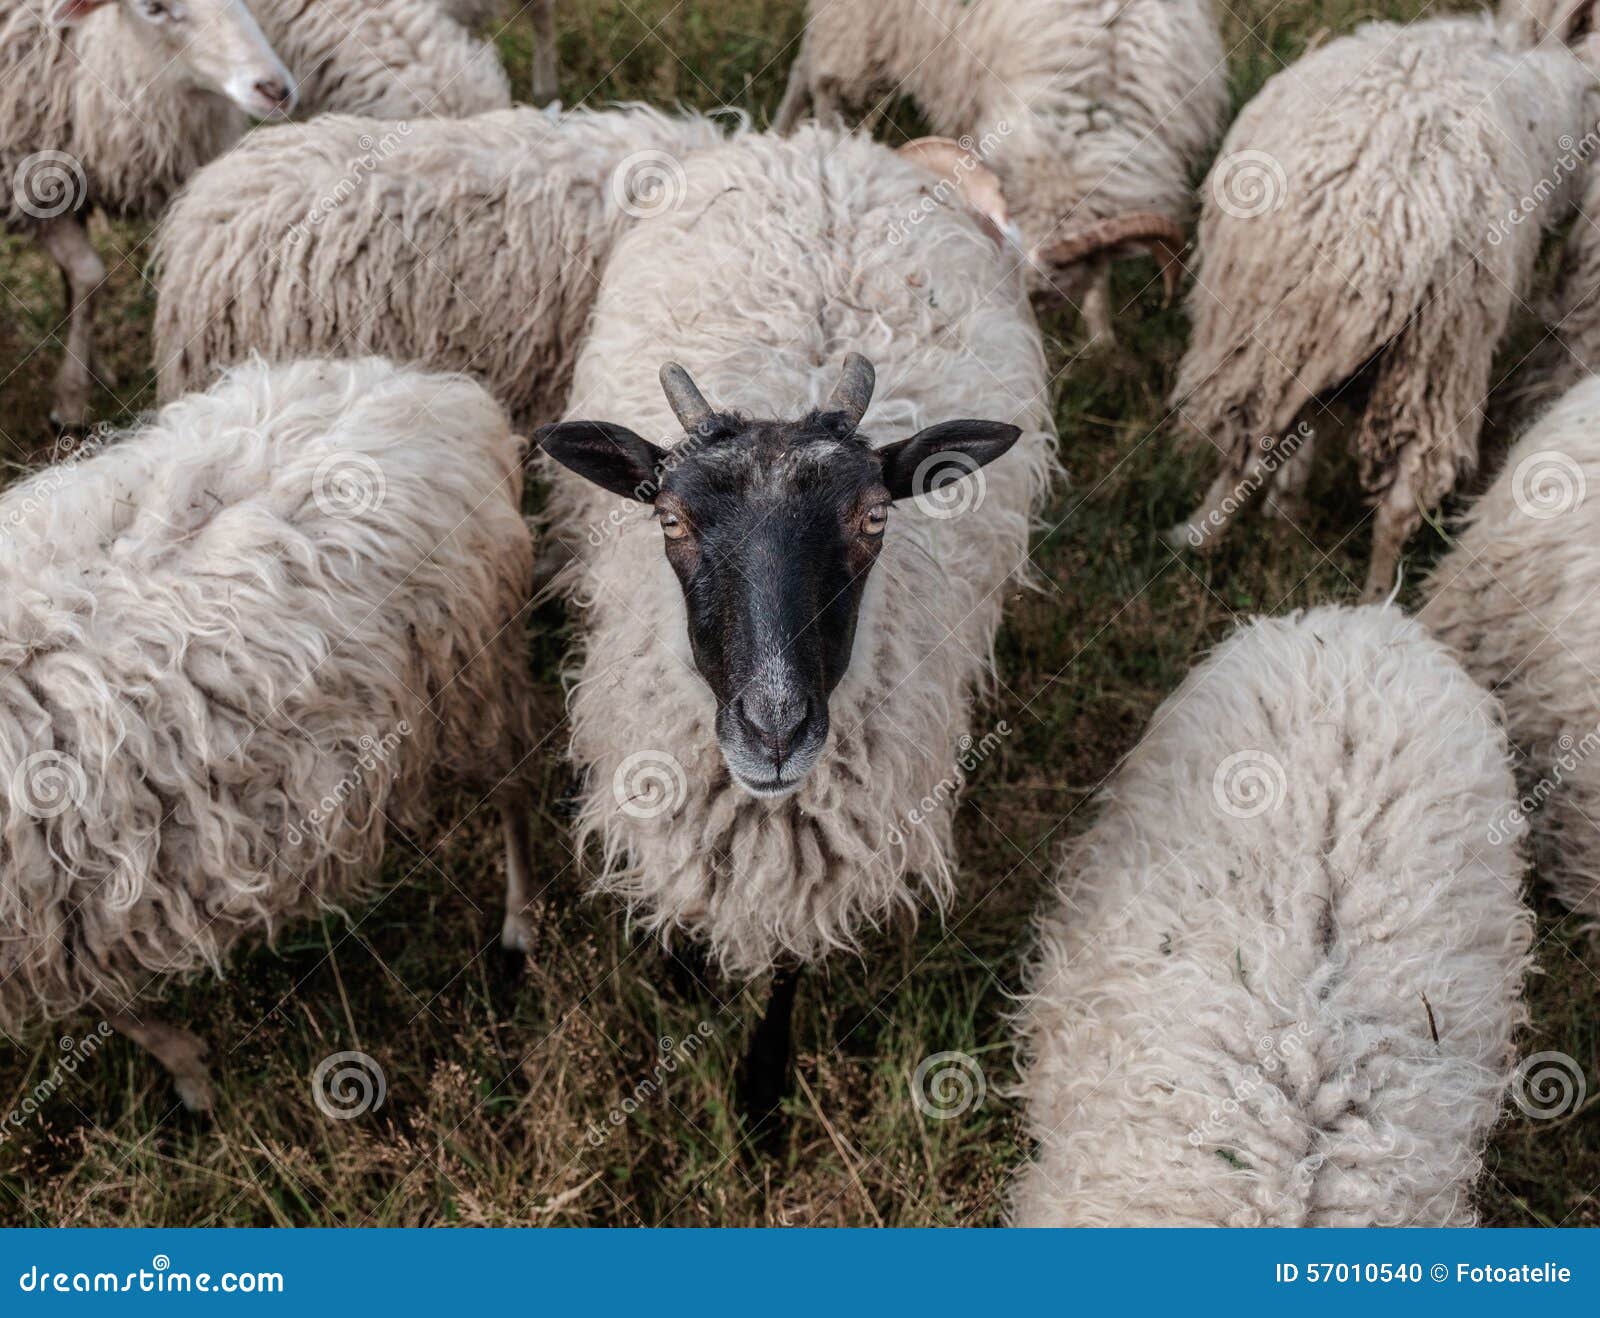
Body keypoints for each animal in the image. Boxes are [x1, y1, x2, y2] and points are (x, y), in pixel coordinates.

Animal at [0, 0, 296, 429]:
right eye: (154, 9)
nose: (276, 90)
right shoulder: (27, 186)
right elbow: (88, 277)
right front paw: (71, 398)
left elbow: (72, 282)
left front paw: (92, 366)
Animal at [0, 355, 539, 1111]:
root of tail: (432, 393)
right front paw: (191, 1067)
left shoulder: (47, 918)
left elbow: (117, 1010)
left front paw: (193, 1078)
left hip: (471, 675)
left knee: (517, 783)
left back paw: (521, 924)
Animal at [534, 124, 1060, 1128]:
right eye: (671, 519)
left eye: (874, 517)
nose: (773, 729)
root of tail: (826, 145)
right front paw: (682, 976)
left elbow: (785, 968)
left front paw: (761, 1099)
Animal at [1165, 0, 1600, 600]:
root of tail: (1378, 237)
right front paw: (1286, 506)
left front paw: (1284, 505)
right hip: (1417, 353)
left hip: (1321, 342)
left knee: (1267, 456)